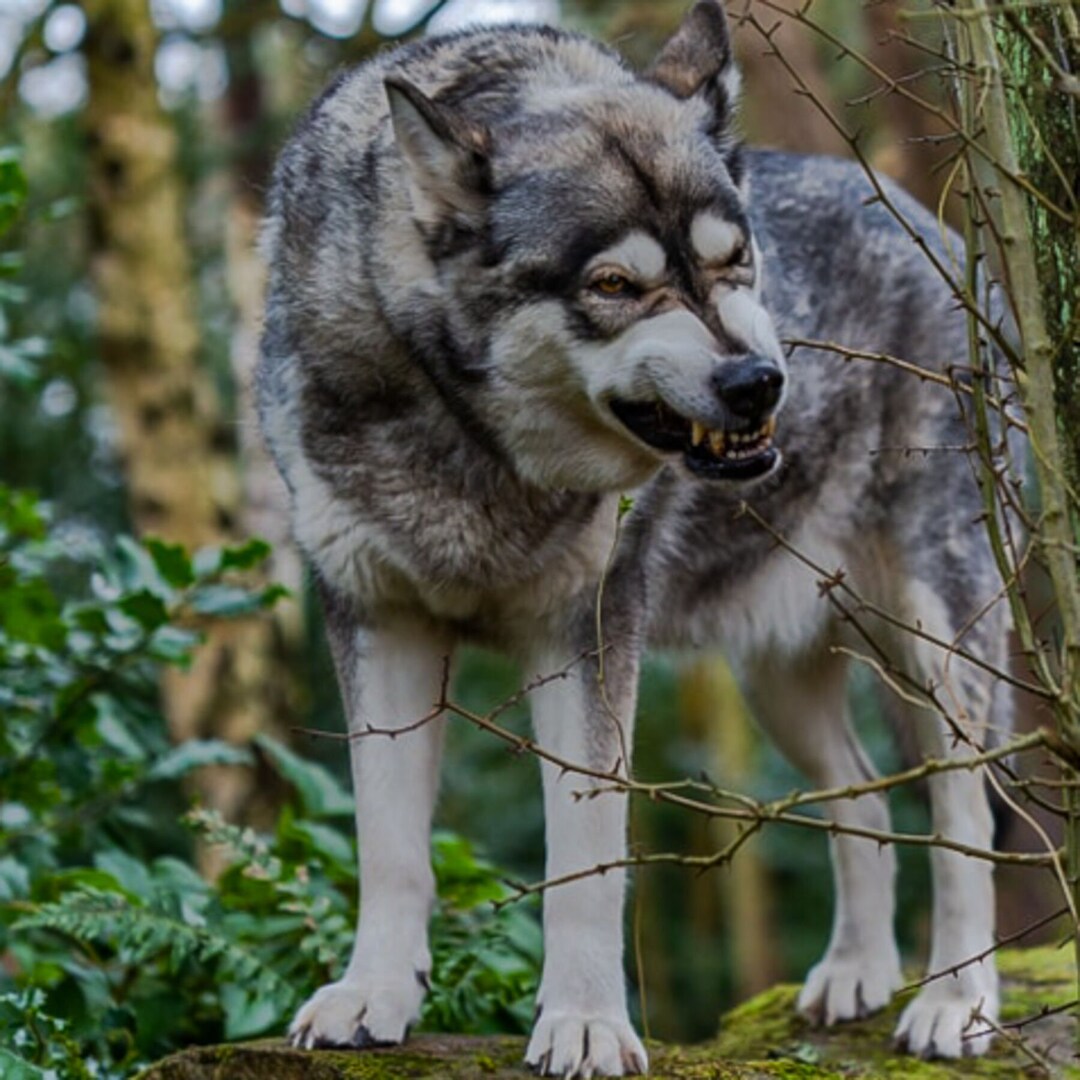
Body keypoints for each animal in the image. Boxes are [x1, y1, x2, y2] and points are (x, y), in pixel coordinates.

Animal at [257, 2, 1012, 1074]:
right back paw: (854, 978)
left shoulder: (589, 635)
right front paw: (372, 999)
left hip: (940, 642)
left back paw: (958, 1004)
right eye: (615, 284)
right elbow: (389, 847)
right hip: (779, 682)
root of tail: (930, 226)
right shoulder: (378, 623)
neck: (468, 437)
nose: (760, 382)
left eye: (736, 260)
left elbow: (586, 855)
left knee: (963, 815)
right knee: (865, 798)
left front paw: (582, 1025)